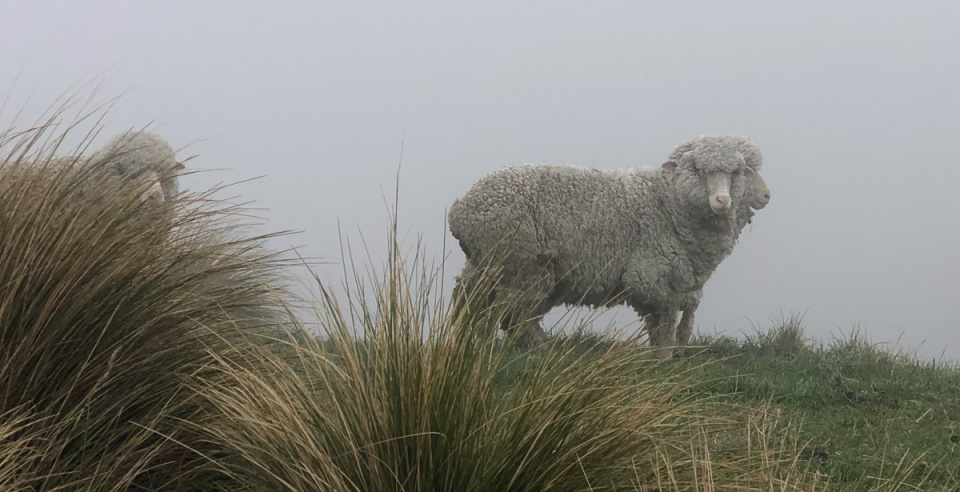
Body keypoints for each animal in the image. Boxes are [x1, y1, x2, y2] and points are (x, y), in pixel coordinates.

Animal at [448, 134, 764, 357]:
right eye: (698, 169)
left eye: (739, 171)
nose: (722, 200)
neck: (667, 201)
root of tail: (460, 209)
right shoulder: (653, 277)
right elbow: (665, 321)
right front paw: (664, 359)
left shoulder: (685, 284)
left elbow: (678, 322)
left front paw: (674, 355)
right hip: (522, 266)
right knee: (510, 313)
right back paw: (535, 349)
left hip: (489, 265)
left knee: (472, 301)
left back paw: (469, 342)